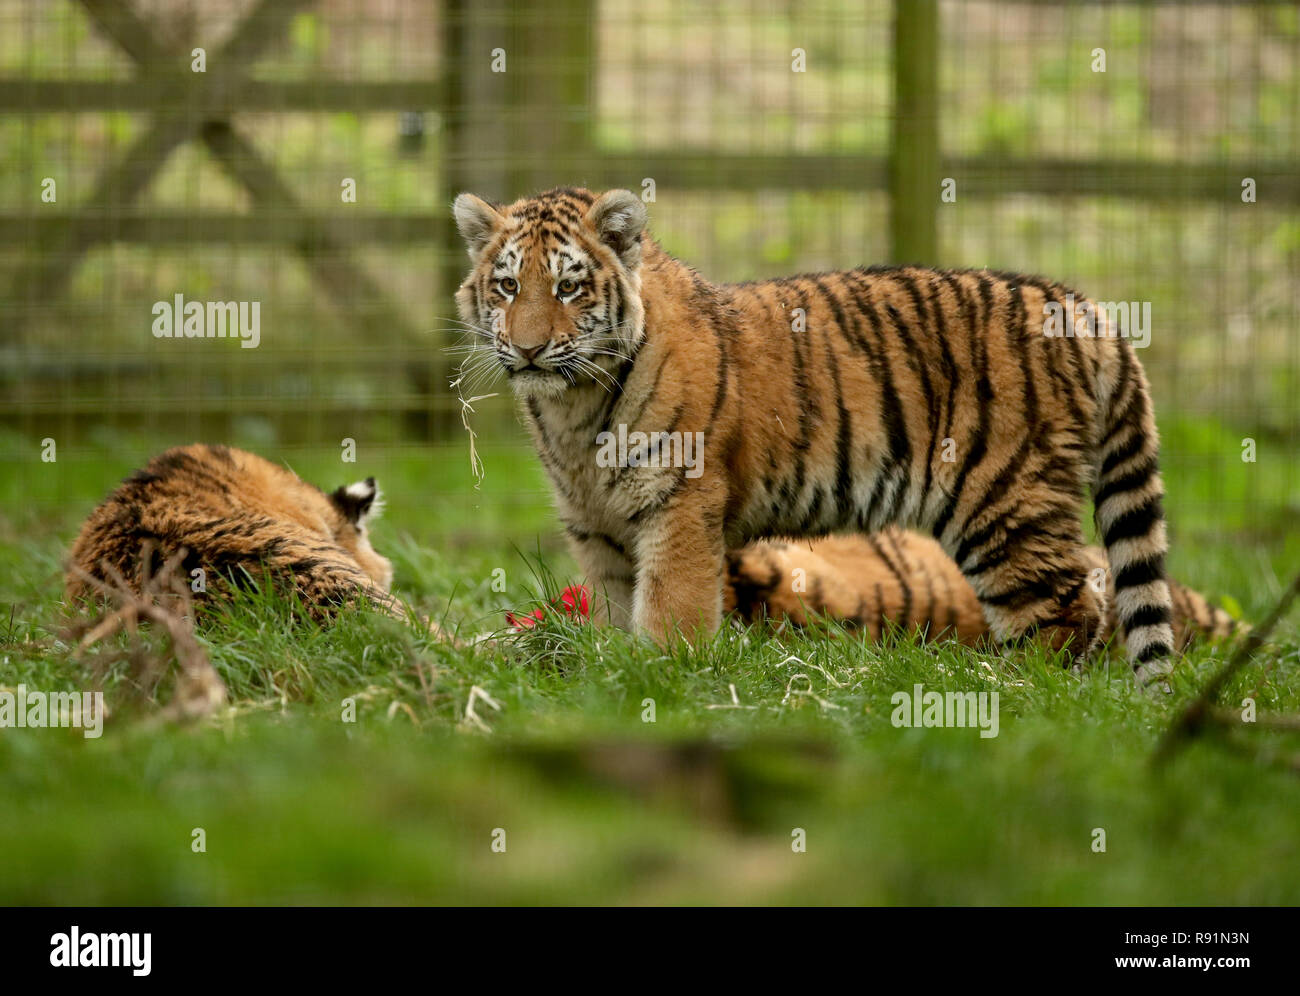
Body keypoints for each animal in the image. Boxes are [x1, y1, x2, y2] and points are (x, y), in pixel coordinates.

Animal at [452, 186, 1177, 681]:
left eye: (569, 287)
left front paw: (660, 677)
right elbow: (611, 609)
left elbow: (670, 609)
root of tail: (1080, 305)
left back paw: (1018, 695)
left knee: (1069, 607)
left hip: (1005, 503)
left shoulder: (679, 503)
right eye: (508, 285)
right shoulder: (595, 524)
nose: (528, 349)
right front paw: (609, 671)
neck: (572, 410)